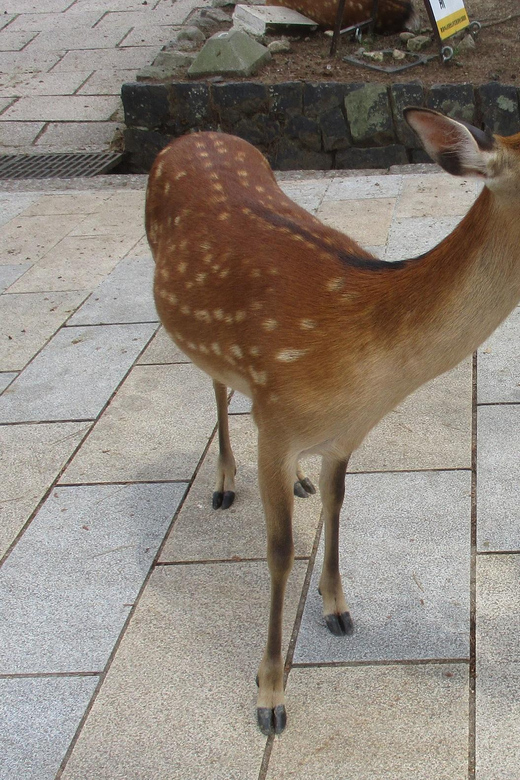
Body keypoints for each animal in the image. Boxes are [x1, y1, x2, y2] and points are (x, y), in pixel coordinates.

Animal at [146, 109, 520, 735]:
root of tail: (197, 133)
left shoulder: (344, 436)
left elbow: (337, 504)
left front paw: (338, 608)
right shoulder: (277, 422)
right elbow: (279, 550)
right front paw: (270, 696)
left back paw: (297, 480)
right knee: (218, 385)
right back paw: (223, 482)